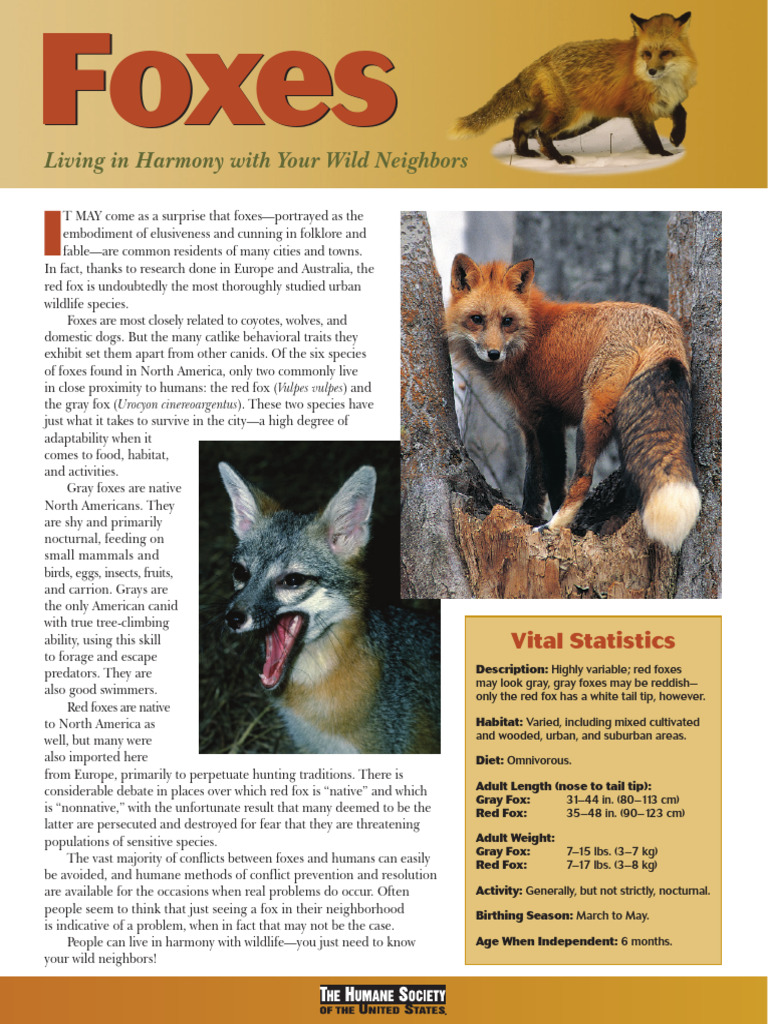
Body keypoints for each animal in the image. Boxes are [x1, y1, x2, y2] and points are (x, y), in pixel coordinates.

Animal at [445, 254, 701, 551]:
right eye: (477, 319)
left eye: (507, 321)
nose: (494, 353)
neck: (530, 337)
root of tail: (663, 325)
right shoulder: (528, 425)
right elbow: (533, 481)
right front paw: (527, 516)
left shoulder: (547, 421)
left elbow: (554, 480)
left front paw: (548, 523)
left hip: (592, 420)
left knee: (583, 478)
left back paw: (554, 525)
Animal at [451, 13, 697, 164]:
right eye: (647, 54)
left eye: (665, 53)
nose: (651, 71)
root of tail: (541, 59)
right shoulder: (639, 111)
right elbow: (651, 139)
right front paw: (662, 155)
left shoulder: (666, 101)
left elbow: (682, 112)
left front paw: (677, 137)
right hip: (572, 116)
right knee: (541, 131)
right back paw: (558, 158)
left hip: (558, 112)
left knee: (522, 121)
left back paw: (524, 152)